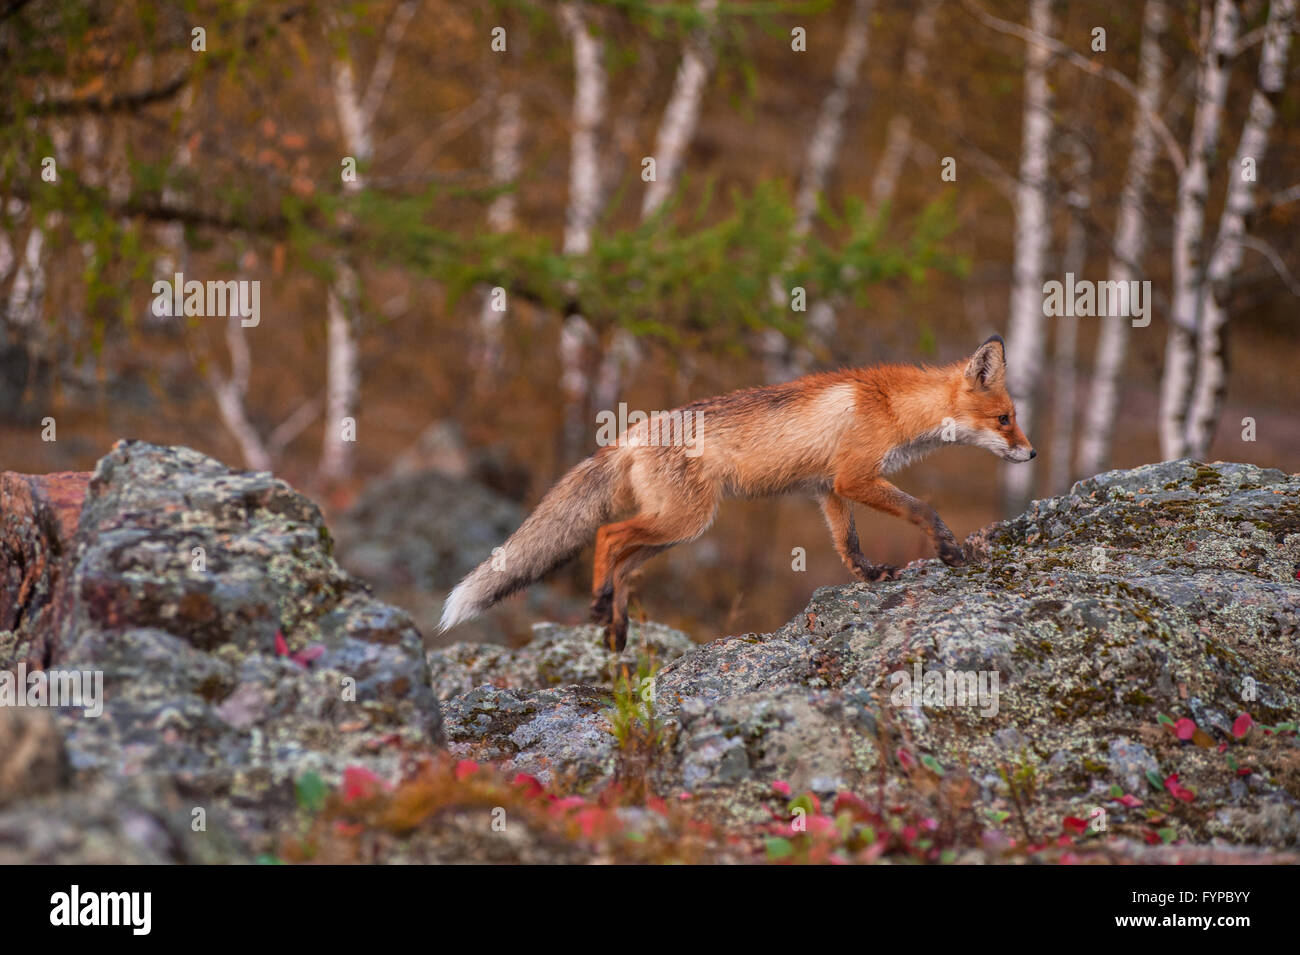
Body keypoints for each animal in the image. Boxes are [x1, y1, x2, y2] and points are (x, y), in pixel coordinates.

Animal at [440, 335, 1035, 652]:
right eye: (1005, 420)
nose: (1031, 455)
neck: (892, 407)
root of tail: (632, 431)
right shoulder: (854, 478)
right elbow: (921, 508)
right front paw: (948, 548)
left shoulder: (828, 488)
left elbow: (849, 545)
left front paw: (871, 577)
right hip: (684, 522)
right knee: (608, 536)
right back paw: (601, 606)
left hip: (675, 531)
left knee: (625, 563)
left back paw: (617, 627)